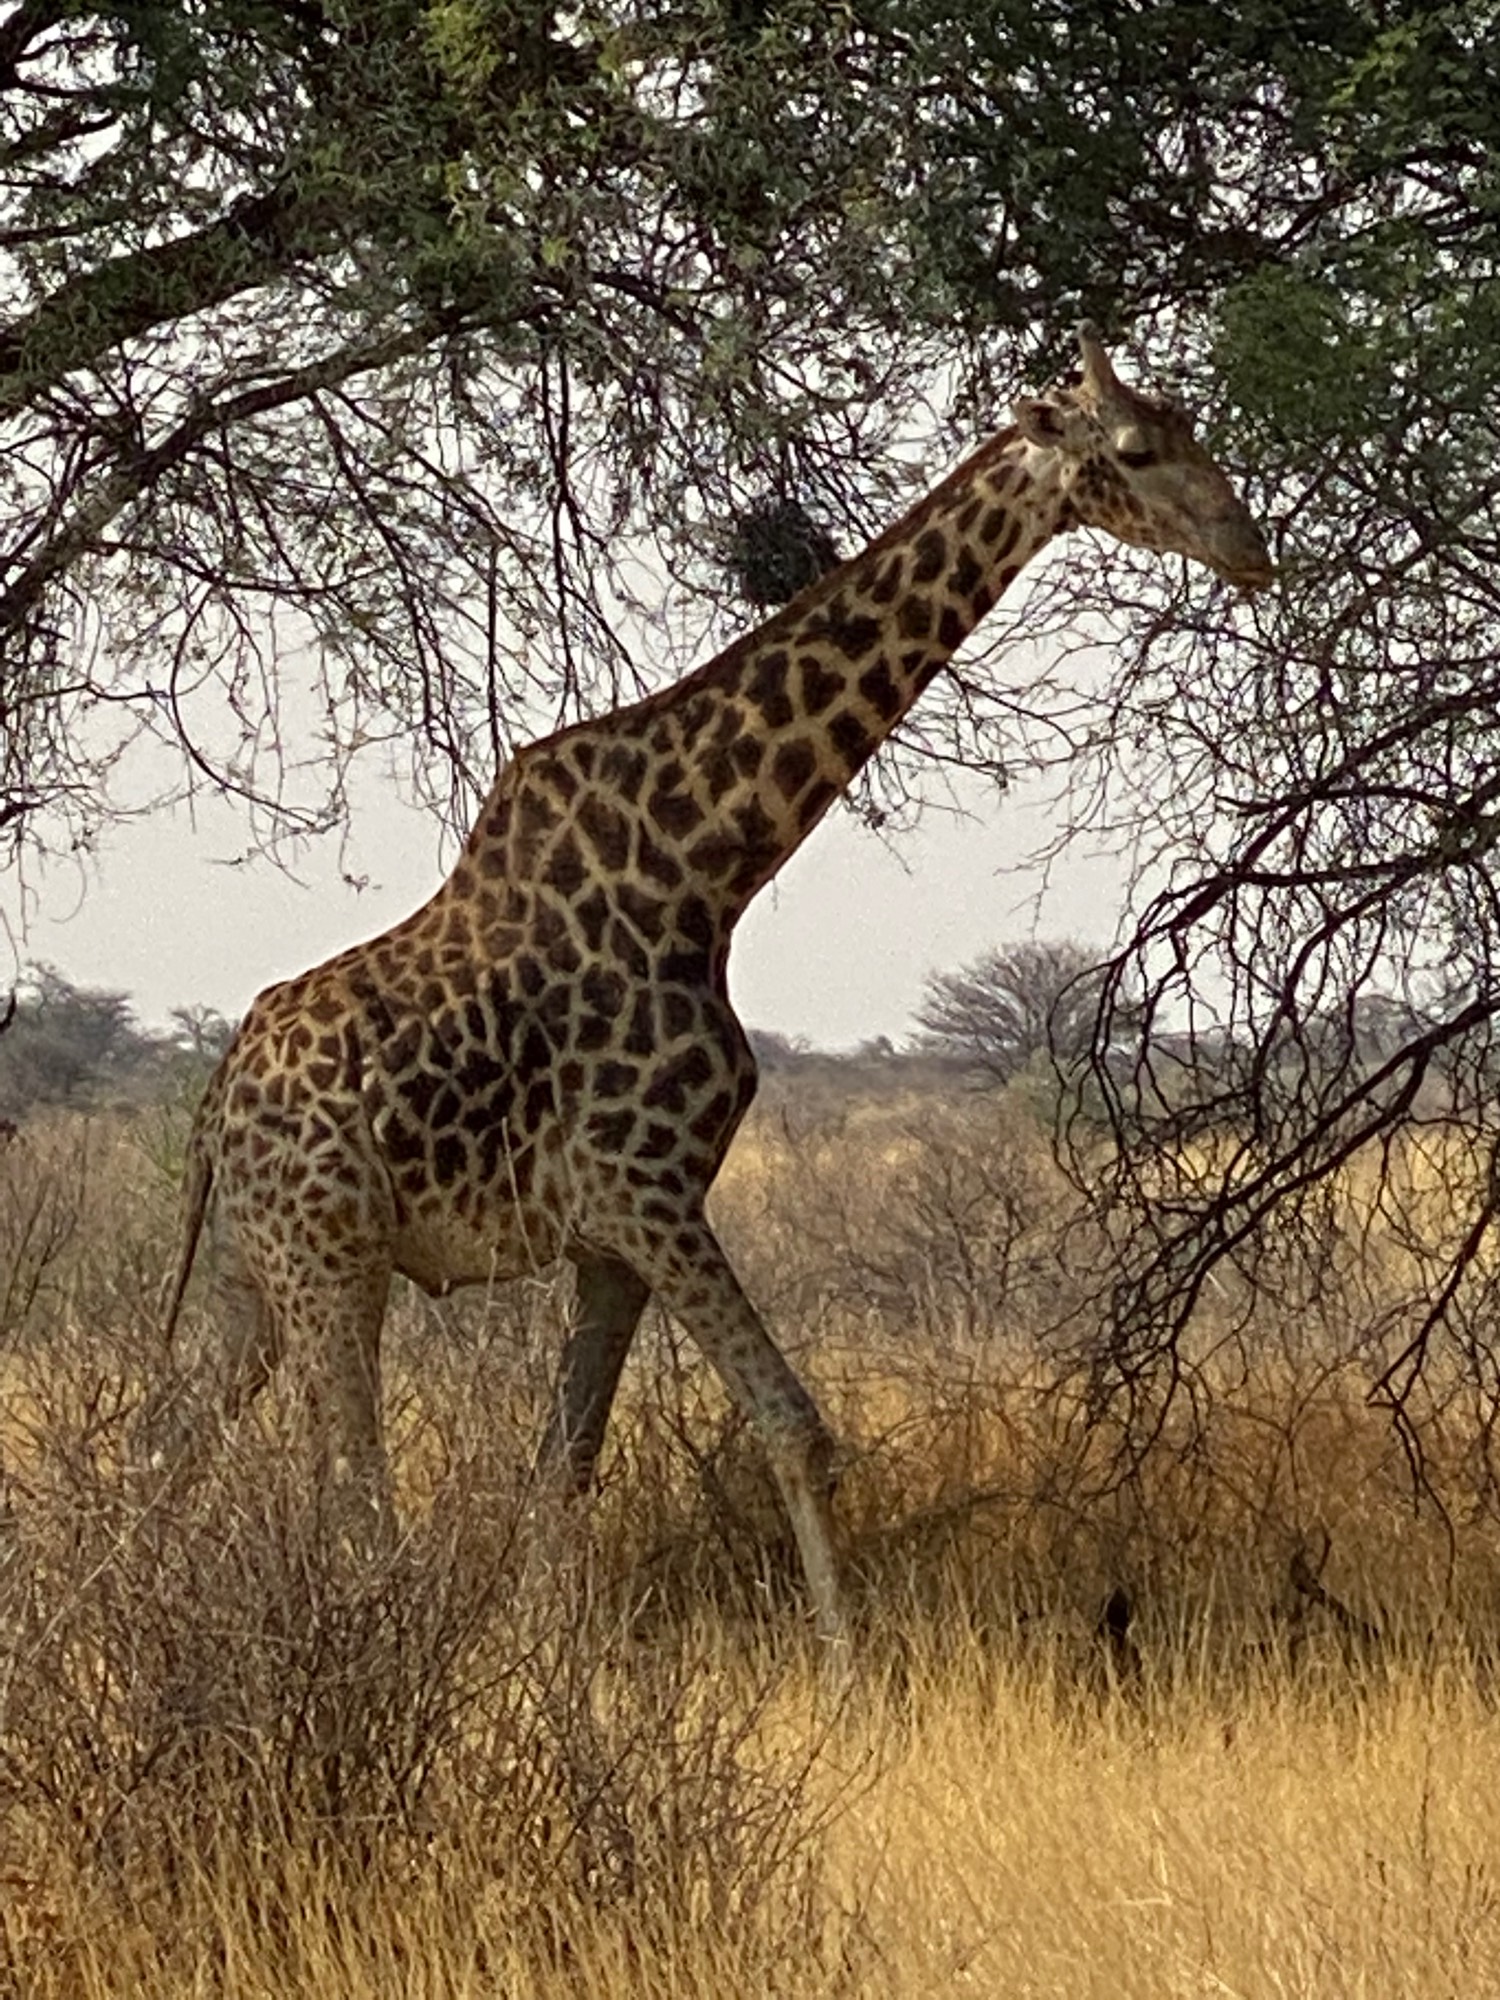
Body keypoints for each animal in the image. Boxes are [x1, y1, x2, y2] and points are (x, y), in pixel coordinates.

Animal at [162, 324, 1272, 1640]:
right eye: (1139, 449)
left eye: (1196, 425)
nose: (1249, 544)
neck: (708, 868)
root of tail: (216, 1102)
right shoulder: (644, 1187)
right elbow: (795, 1426)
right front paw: (848, 1666)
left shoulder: (615, 1228)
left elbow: (567, 1464)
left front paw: (545, 1654)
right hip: (331, 1250)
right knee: (348, 1480)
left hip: (259, 1269)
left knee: (166, 1445)